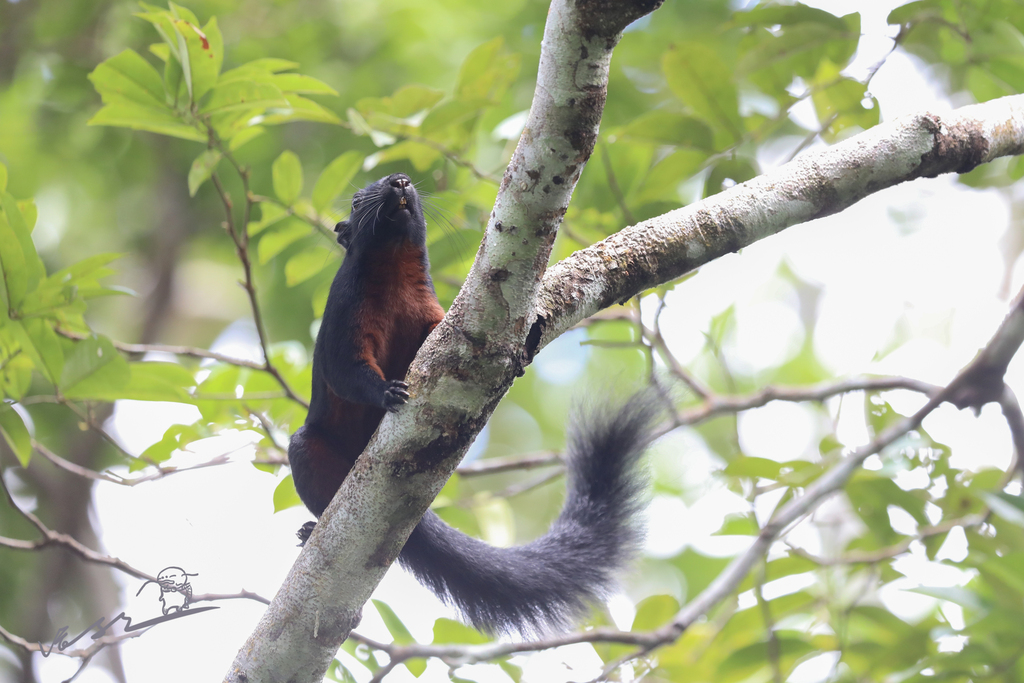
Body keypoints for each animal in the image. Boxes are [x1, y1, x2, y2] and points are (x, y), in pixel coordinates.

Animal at [287, 172, 660, 635]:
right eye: (357, 201)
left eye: (401, 180)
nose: (399, 180)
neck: (393, 274)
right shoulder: (343, 316)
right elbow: (346, 370)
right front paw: (388, 393)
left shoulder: (433, 316)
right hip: (311, 451)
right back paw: (311, 529)